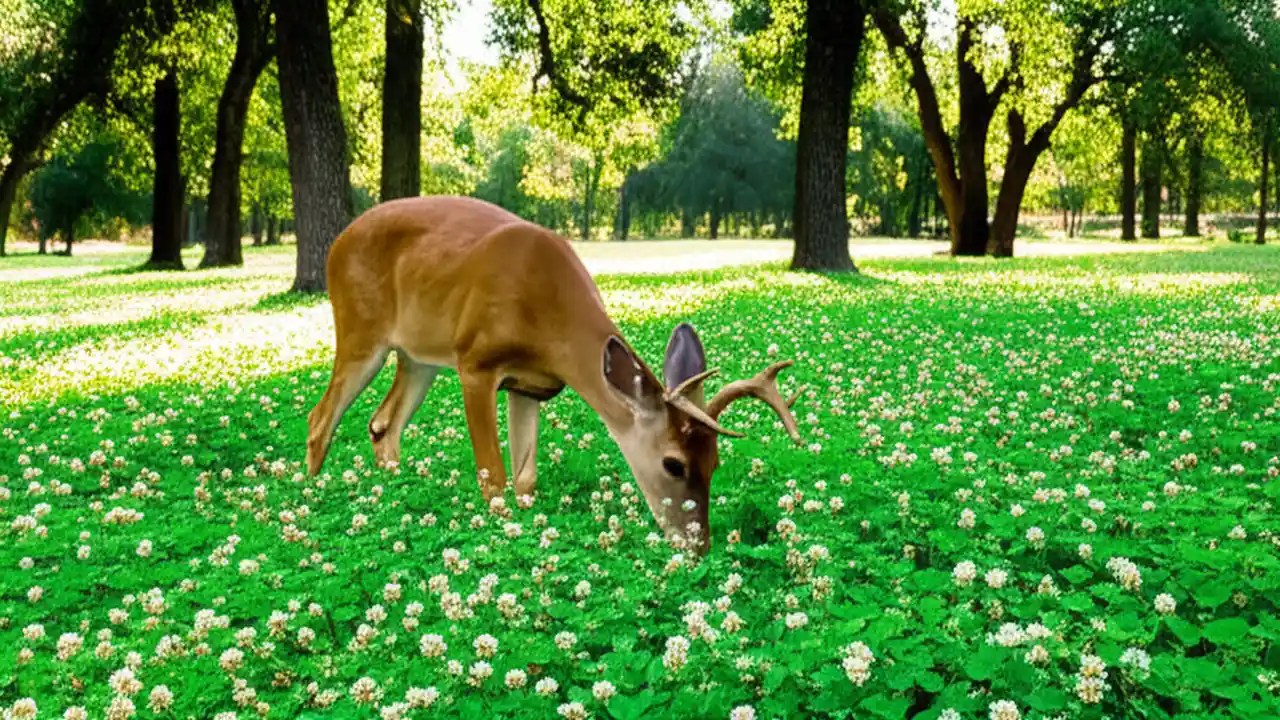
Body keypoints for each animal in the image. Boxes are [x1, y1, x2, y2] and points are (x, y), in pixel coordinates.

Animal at [304, 195, 804, 552]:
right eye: (673, 464)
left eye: (715, 462)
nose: (698, 547)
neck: (547, 321)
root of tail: (337, 242)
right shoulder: (475, 362)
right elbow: (494, 476)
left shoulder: (531, 387)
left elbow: (525, 478)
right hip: (360, 330)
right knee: (321, 417)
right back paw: (311, 494)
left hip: (418, 357)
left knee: (382, 424)